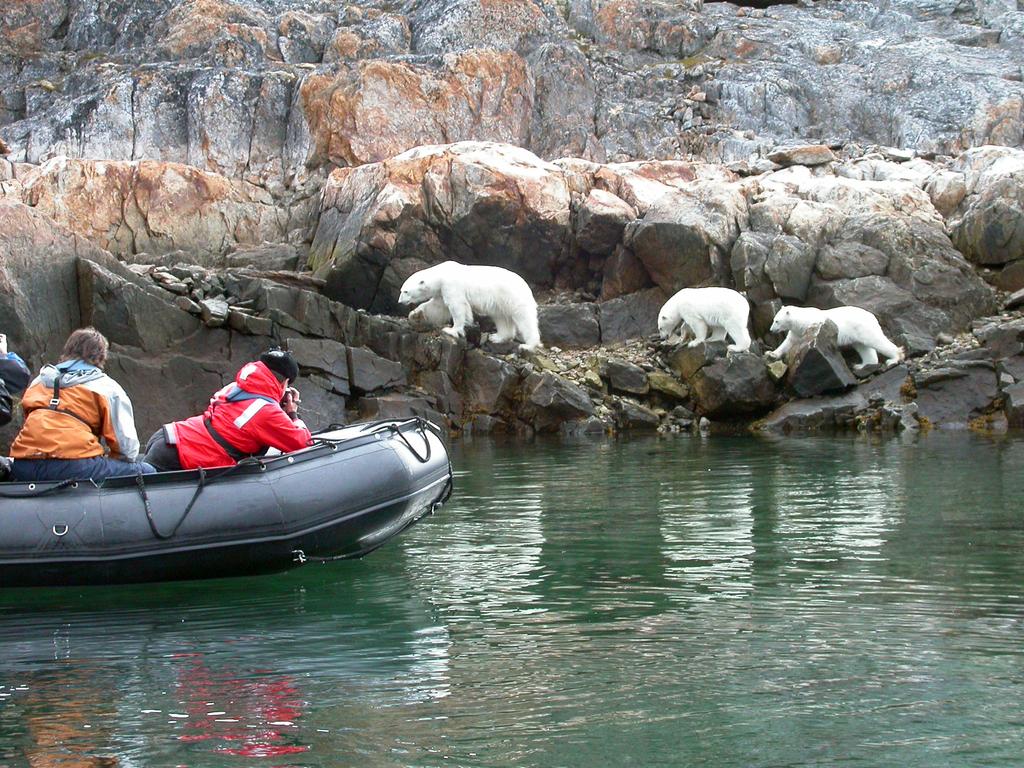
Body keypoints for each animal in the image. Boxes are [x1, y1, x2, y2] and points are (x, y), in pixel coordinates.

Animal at [398, 261, 541, 351]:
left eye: (406, 291)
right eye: (402, 290)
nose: (399, 302)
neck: (442, 274)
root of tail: (526, 286)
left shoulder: (451, 286)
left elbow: (457, 306)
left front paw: (451, 330)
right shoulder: (441, 290)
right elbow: (437, 307)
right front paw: (415, 315)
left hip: (513, 298)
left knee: (525, 319)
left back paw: (528, 345)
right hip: (500, 303)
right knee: (501, 318)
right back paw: (497, 337)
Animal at [767, 305, 904, 370]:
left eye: (777, 321)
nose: (771, 330)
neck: (801, 321)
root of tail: (872, 316)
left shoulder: (813, 325)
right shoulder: (797, 331)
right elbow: (788, 342)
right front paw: (771, 354)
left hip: (864, 328)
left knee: (876, 341)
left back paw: (894, 359)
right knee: (863, 347)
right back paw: (861, 366)